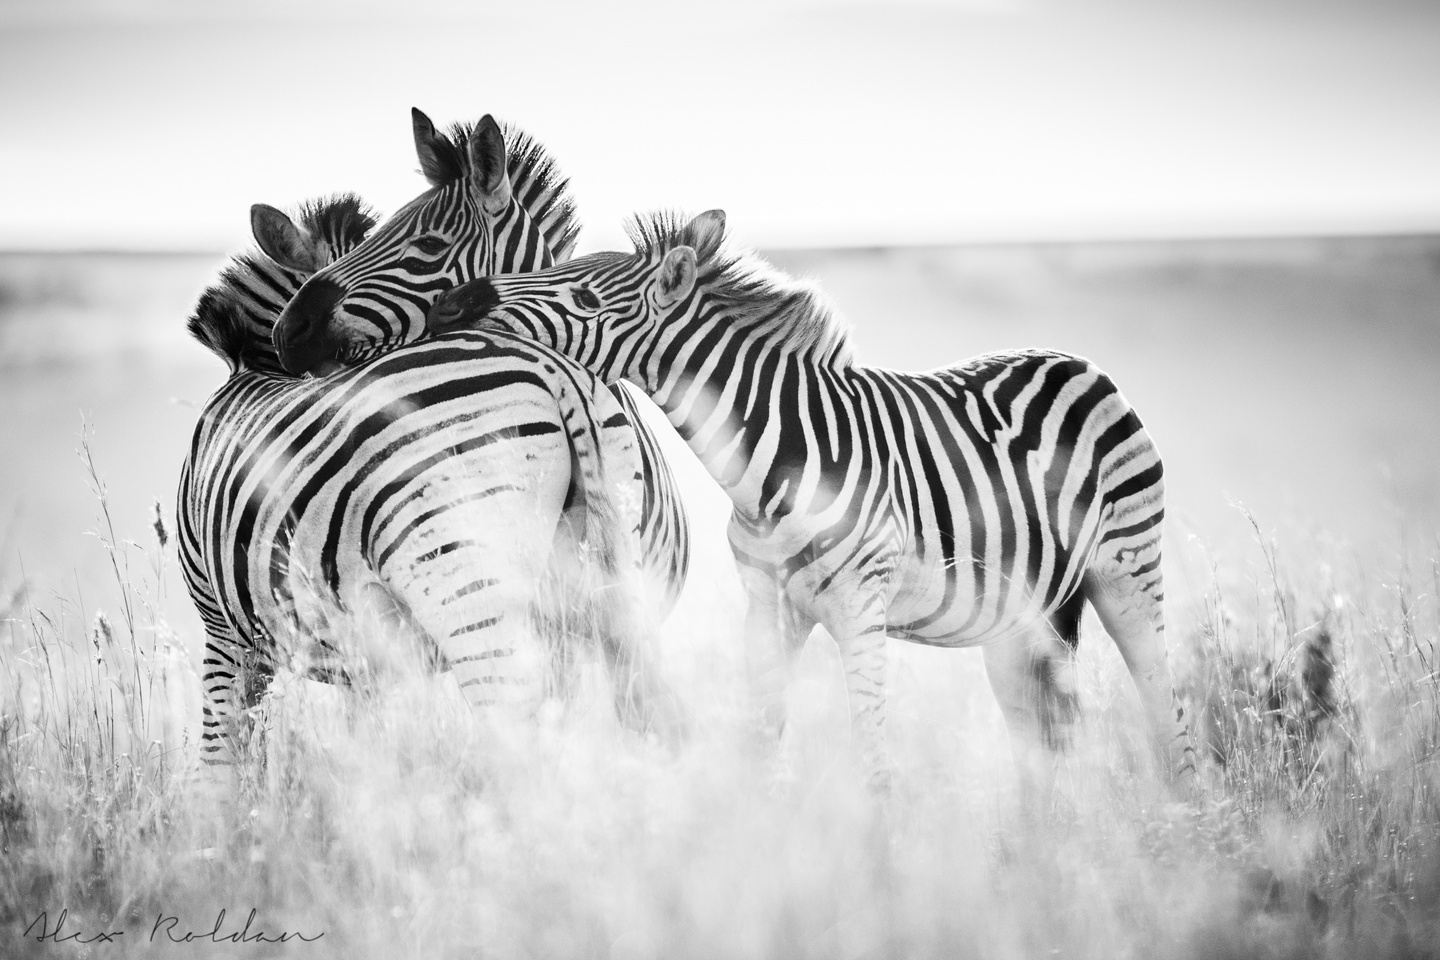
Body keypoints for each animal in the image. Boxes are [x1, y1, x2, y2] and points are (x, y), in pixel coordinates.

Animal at [178, 192, 673, 788]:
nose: (295, 336)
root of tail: (555, 367)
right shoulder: (371, 657)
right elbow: (378, 750)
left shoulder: (223, 629)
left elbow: (219, 760)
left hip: (461, 572)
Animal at [414, 214, 1192, 794]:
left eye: (585, 301)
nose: (454, 304)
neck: (775, 469)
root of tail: (1077, 361)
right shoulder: (769, 608)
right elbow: (760, 738)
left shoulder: (862, 610)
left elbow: (872, 758)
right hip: (1023, 612)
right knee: (1045, 732)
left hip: (1128, 570)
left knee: (1166, 705)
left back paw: (1183, 833)